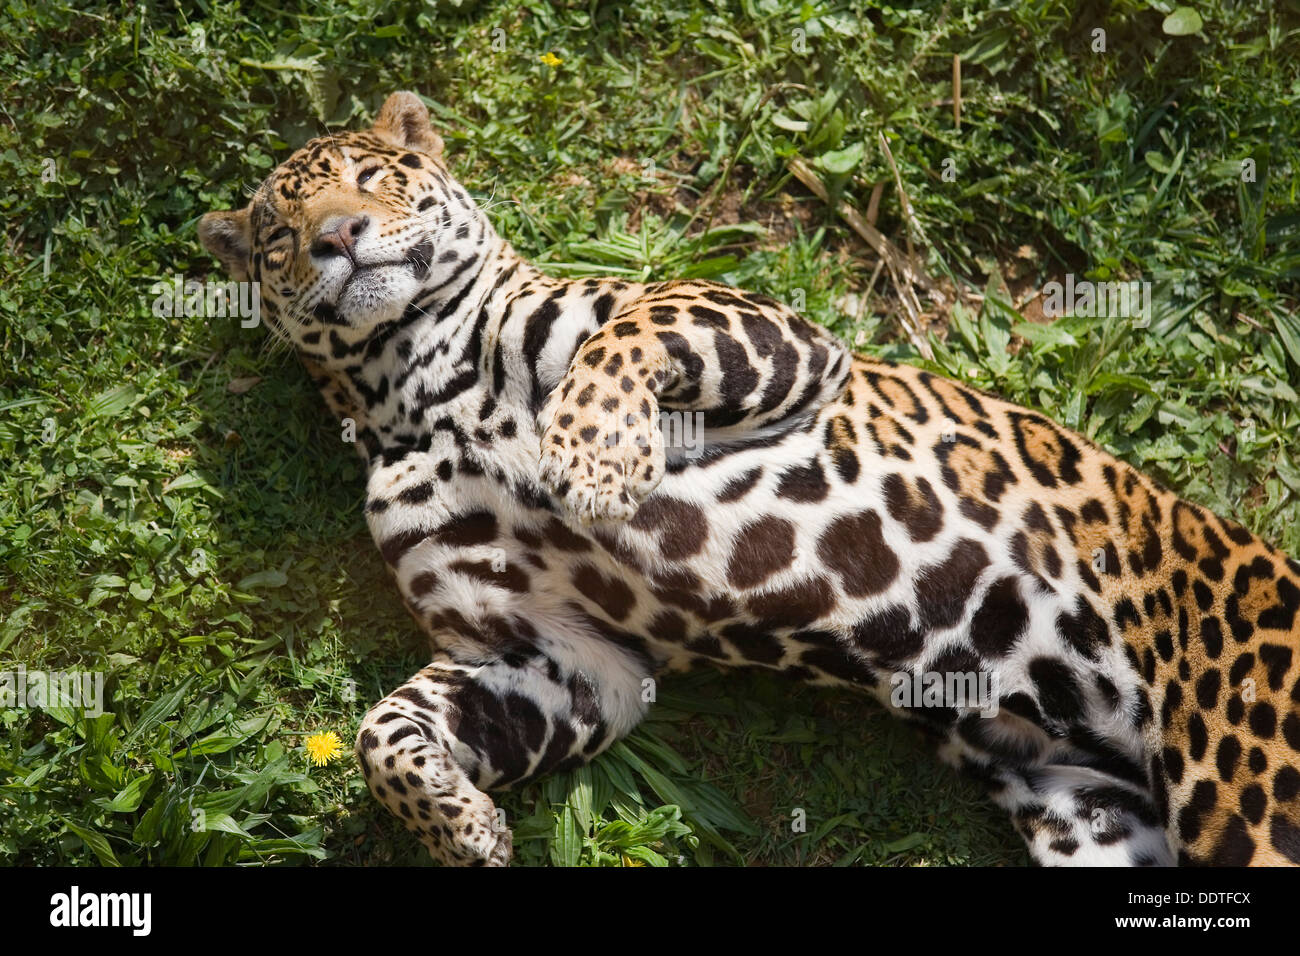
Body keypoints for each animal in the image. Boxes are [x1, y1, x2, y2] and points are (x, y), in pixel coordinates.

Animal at [198, 91, 1300, 867]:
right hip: (1088, 807)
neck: (420, 380)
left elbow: (631, 329)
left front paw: (593, 459)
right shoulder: (566, 653)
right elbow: (382, 729)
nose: (338, 237)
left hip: (1245, 788)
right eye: (281, 237)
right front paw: (460, 827)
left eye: (370, 176)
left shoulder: (778, 337)